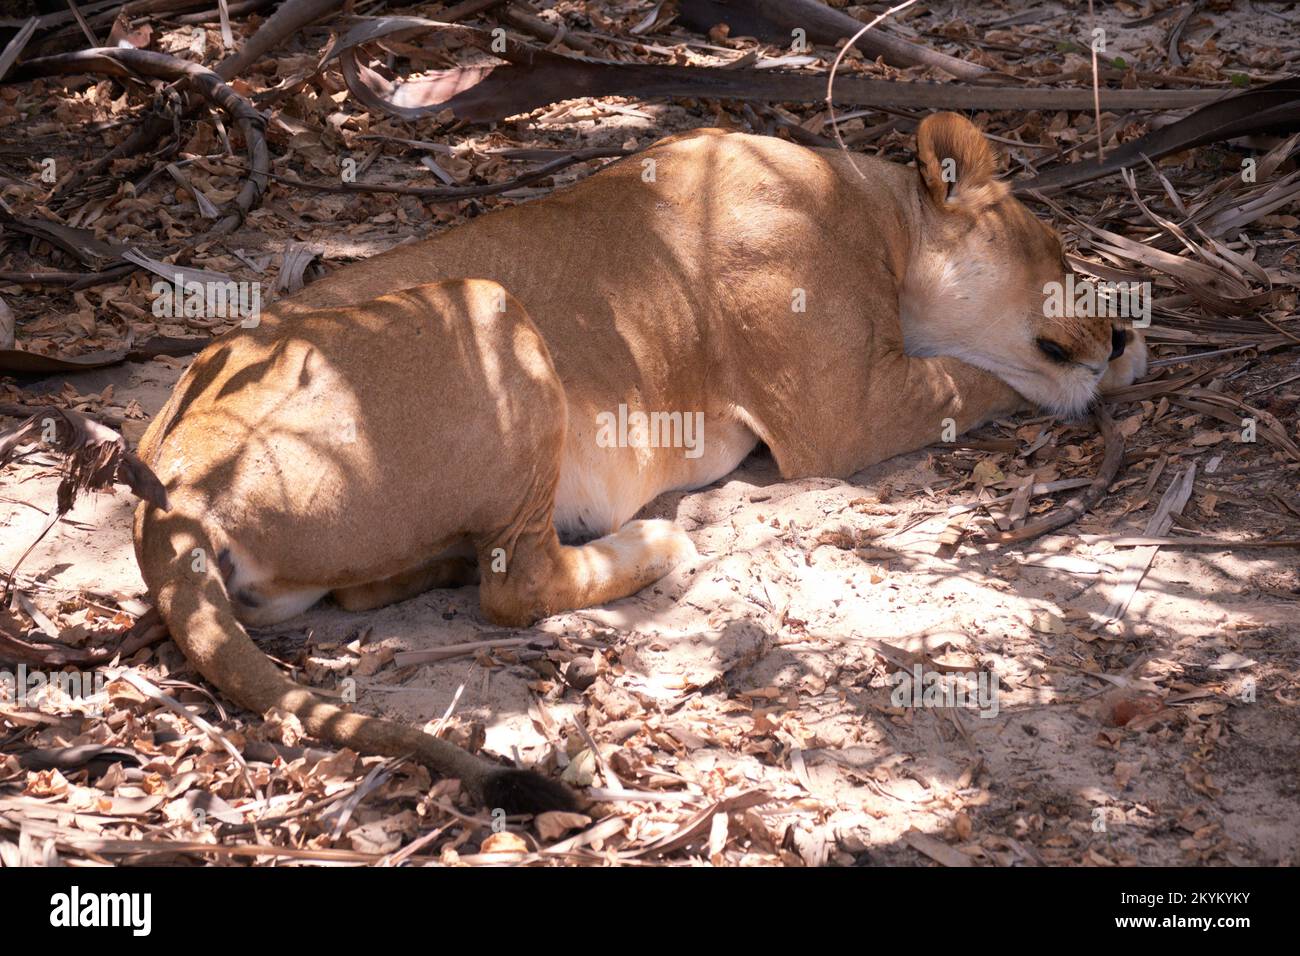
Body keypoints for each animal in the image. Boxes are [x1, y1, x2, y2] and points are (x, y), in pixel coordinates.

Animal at [133, 113, 1146, 812]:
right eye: (1055, 253)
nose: (1118, 328)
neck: (878, 218)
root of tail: (168, 487)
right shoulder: (843, 415)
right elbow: (983, 380)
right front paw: (1111, 367)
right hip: (489, 310)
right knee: (516, 585)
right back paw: (652, 544)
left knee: (395, 585)